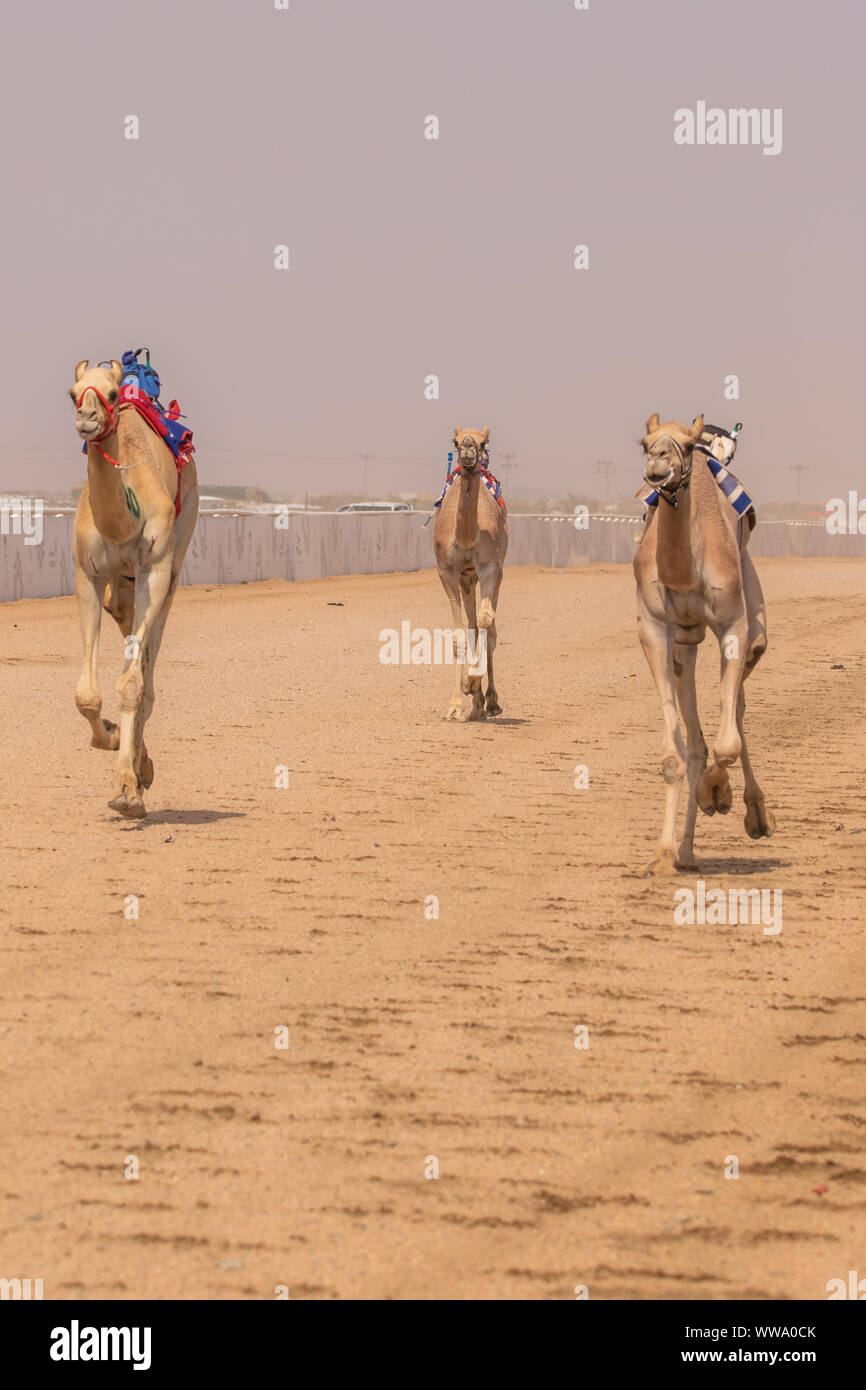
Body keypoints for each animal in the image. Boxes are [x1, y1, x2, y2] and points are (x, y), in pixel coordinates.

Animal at [69, 359, 199, 818]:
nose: (86, 420)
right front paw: (108, 736)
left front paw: (126, 789)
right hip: (120, 588)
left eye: (109, 395)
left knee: (146, 672)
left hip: (172, 566)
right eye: (73, 393)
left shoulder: (153, 570)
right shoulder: (88, 575)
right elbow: (87, 694)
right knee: (129, 637)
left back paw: (141, 772)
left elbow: (130, 685)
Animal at [433, 427, 508, 721]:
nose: (467, 446)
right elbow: (458, 636)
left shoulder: (489, 567)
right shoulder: (447, 571)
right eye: (455, 441)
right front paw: (456, 704)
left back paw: (491, 701)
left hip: (494, 572)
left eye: (484, 442)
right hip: (467, 578)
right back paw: (476, 703)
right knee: (473, 626)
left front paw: (472, 682)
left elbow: (487, 622)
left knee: (490, 629)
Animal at [633, 413, 775, 874]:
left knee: (742, 696)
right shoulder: (654, 627)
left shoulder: (732, 623)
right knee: (695, 736)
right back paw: (686, 852)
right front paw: (662, 854)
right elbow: (674, 753)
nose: (659, 464)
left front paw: (716, 792)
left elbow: (727, 742)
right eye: (645, 443)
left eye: (685, 443)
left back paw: (755, 814)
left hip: (750, 611)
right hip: (685, 644)